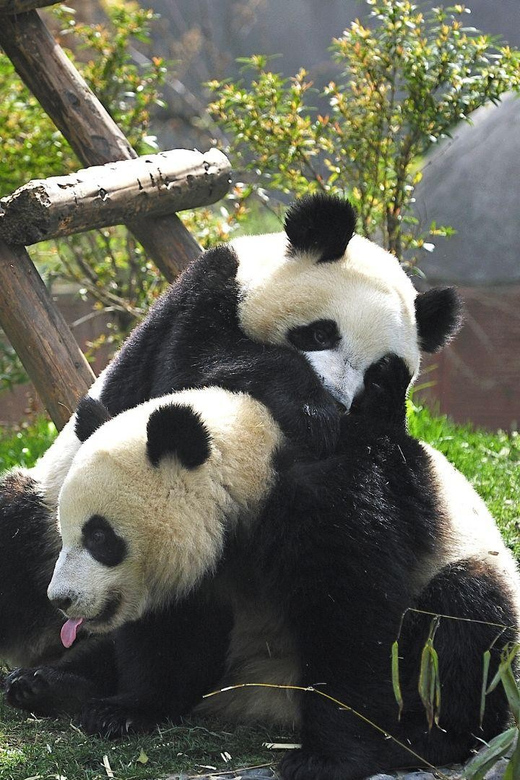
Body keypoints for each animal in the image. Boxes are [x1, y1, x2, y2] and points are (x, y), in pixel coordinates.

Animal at [0, 193, 462, 670]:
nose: (337, 400)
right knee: (16, 525)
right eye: (320, 334)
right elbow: (196, 369)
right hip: (47, 505)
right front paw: (311, 411)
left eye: (378, 375)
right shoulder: (203, 300)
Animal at [8, 359, 520, 780]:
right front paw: (123, 710)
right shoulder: (203, 569)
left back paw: (423, 738)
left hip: (463, 574)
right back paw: (43, 686)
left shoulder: (338, 499)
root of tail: (261, 696)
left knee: (462, 619)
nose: (61, 599)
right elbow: (172, 636)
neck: (257, 461)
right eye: (63, 530)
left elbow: (349, 622)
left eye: (99, 538)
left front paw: (325, 759)